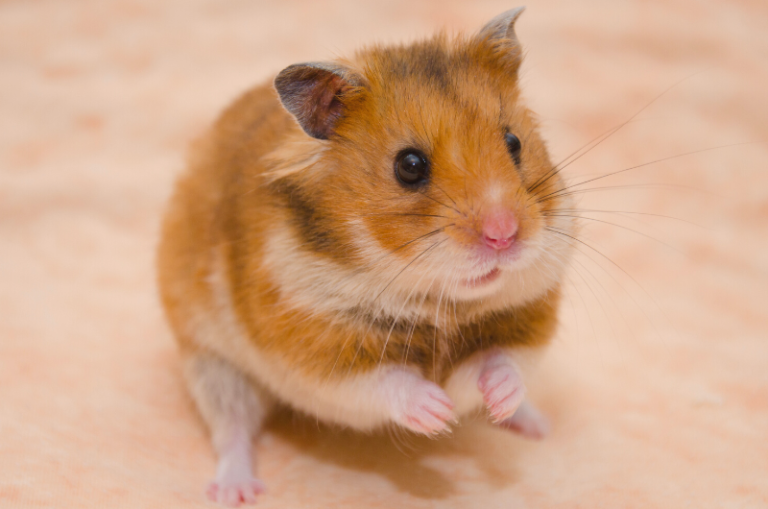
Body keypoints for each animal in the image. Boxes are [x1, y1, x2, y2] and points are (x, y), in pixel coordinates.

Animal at [157, 7, 576, 506]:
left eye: (514, 143)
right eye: (409, 166)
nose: (504, 235)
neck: (439, 302)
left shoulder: (526, 318)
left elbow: (499, 361)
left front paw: (492, 399)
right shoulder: (315, 347)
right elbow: (388, 381)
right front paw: (438, 413)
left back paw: (535, 425)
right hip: (212, 364)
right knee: (232, 429)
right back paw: (234, 491)